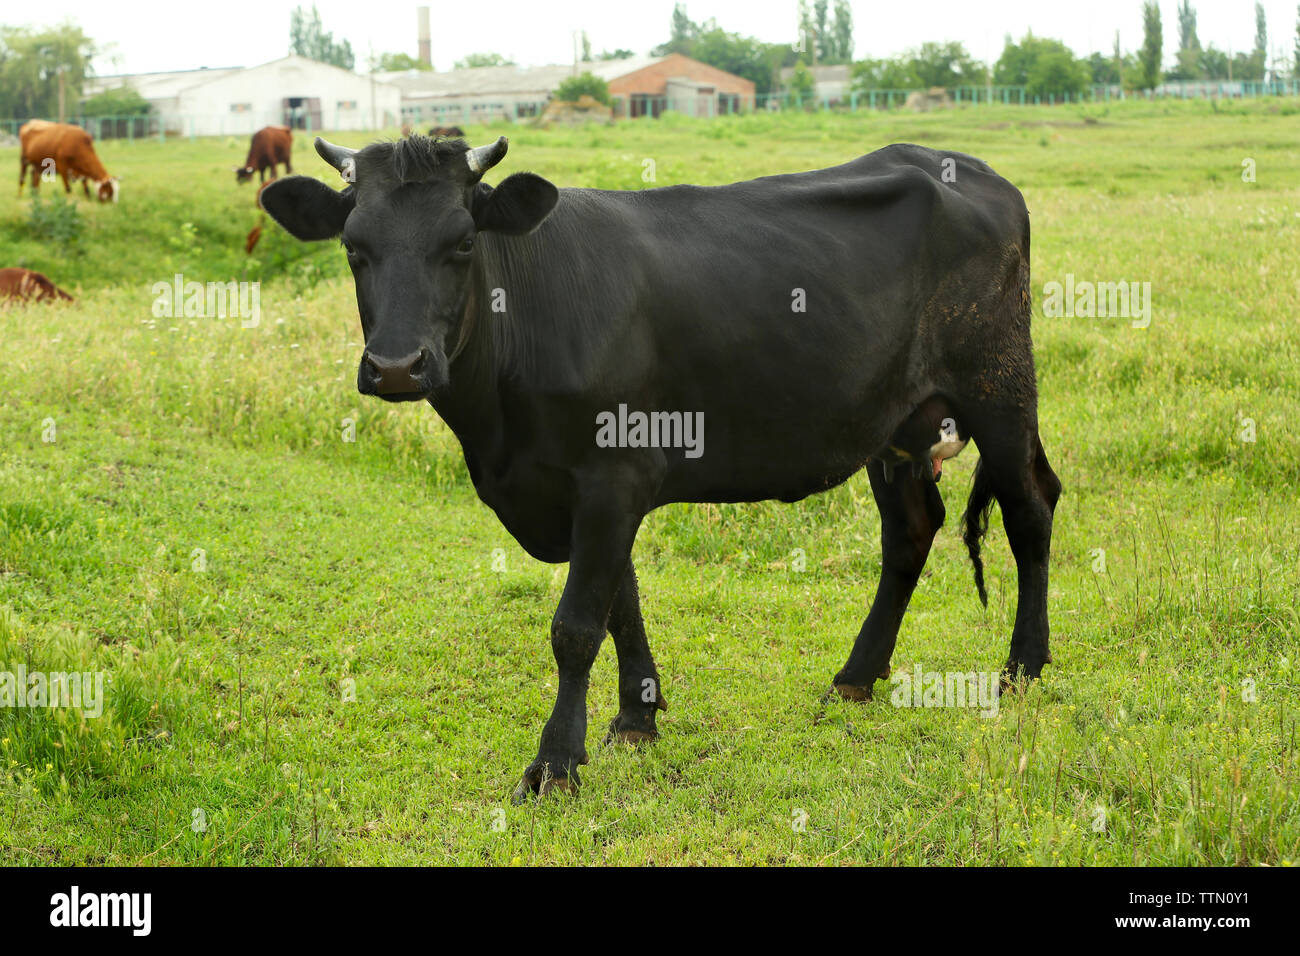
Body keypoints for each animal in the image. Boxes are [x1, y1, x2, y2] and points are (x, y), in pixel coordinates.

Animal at [260, 134, 1061, 800]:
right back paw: (856, 678)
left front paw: (555, 763)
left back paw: (1021, 670)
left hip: (999, 385)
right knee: (910, 532)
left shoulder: (612, 475)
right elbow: (623, 600)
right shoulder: (583, 492)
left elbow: (577, 624)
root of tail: (964, 166)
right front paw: (636, 716)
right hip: (894, 423)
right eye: (353, 246)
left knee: (1030, 508)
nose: (397, 366)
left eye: (460, 242)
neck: (498, 433)